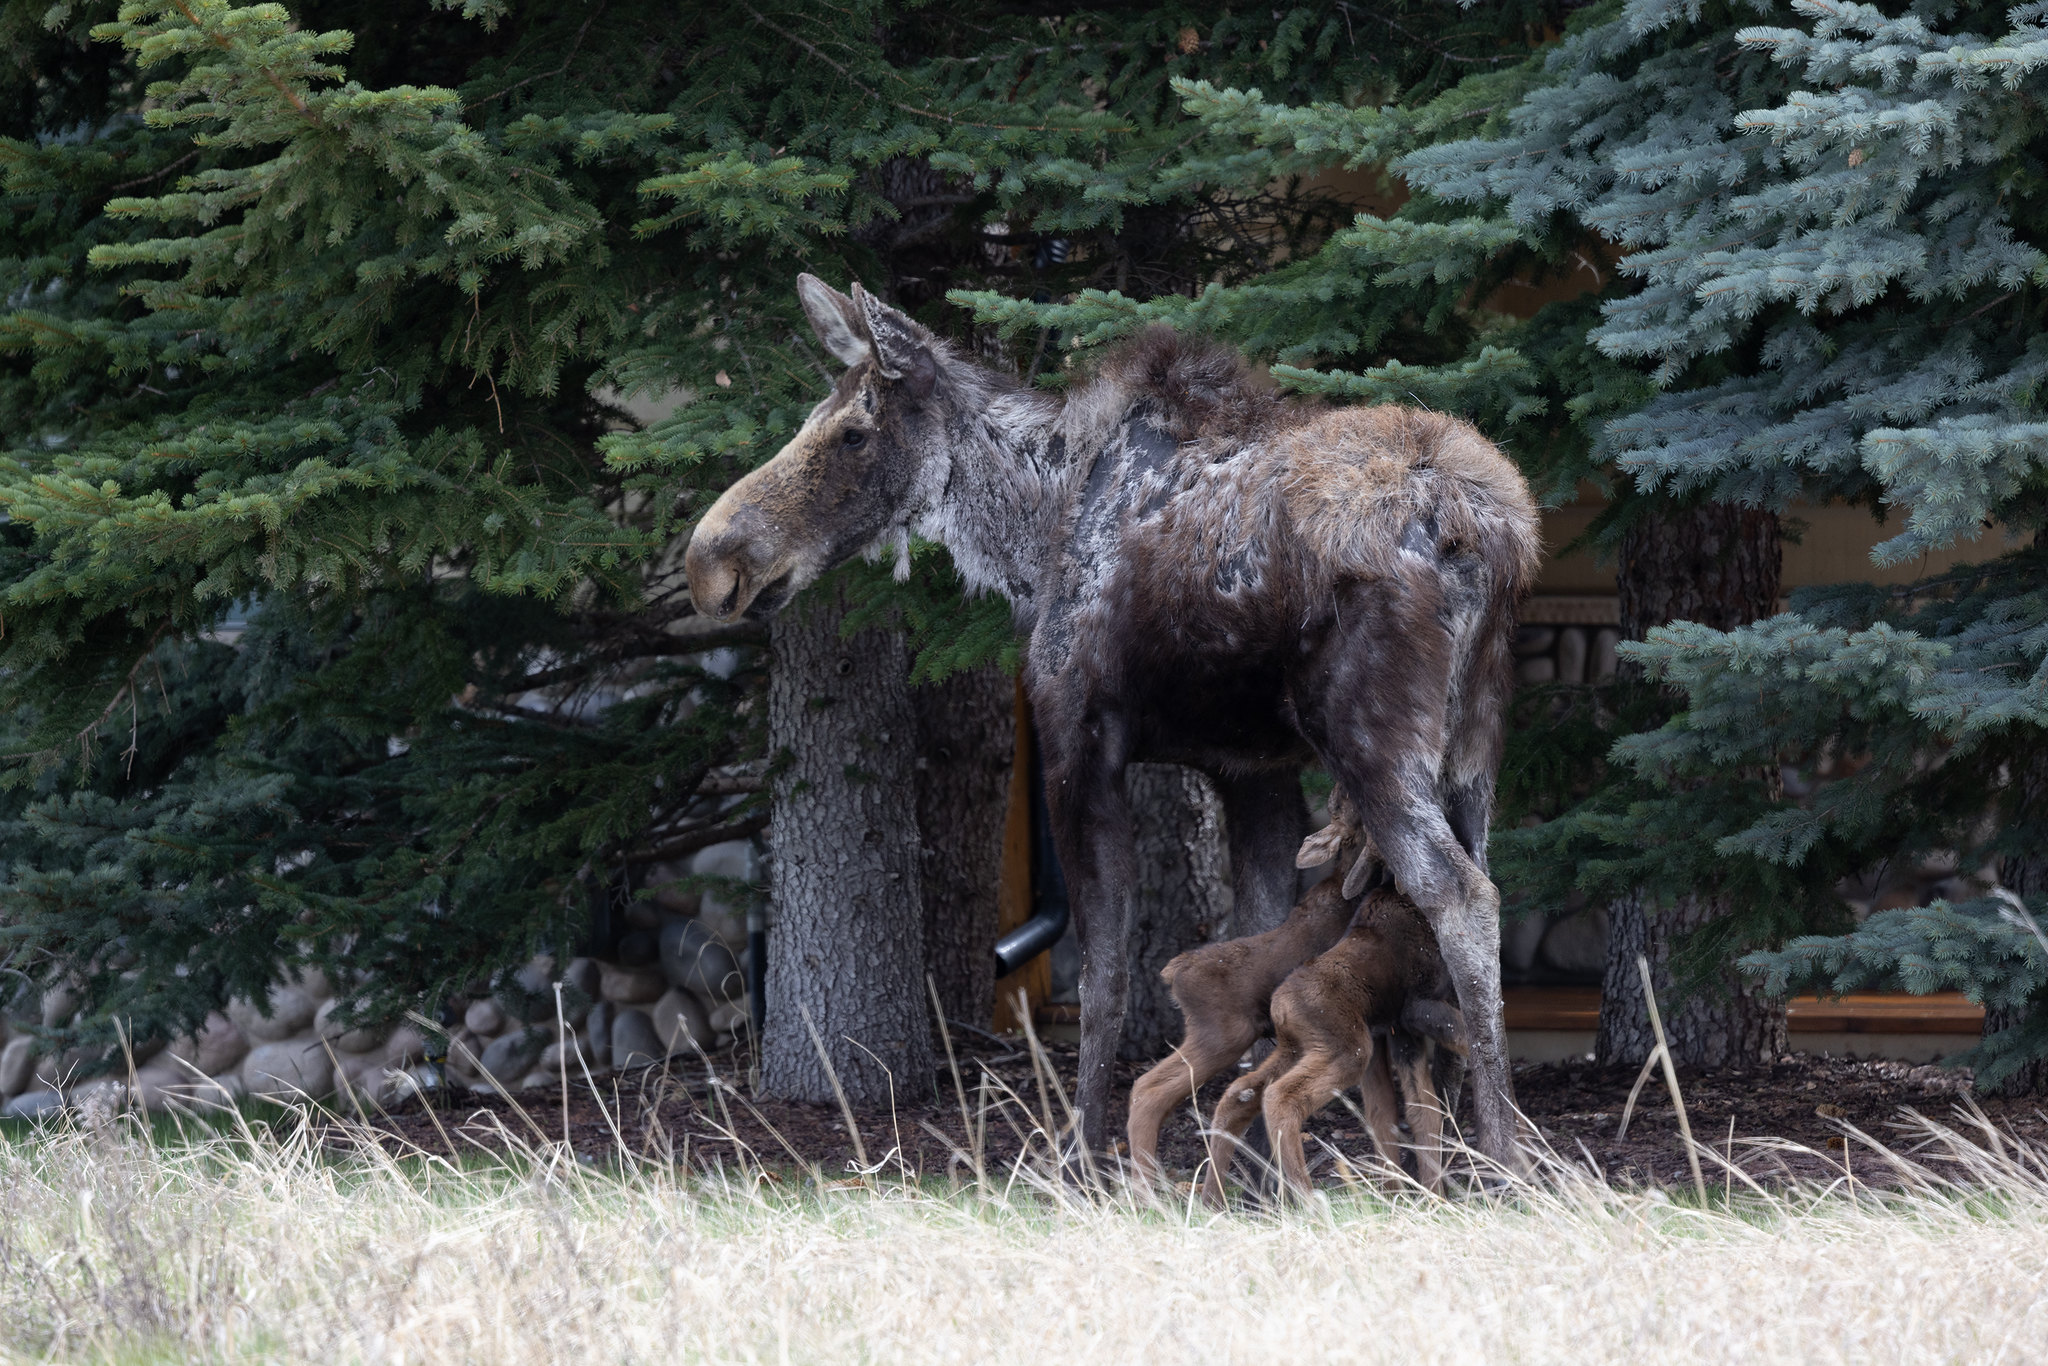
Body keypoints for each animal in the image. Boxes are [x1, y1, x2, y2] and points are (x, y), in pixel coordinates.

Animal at [683, 276, 1540, 1168]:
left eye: (853, 432)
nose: (711, 562)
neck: (1032, 535)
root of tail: (1487, 533)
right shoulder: (1251, 767)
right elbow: (1258, 940)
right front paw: (1244, 1169)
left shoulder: (1078, 737)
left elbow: (1105, 973)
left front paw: (1083, 1156)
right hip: (1474, 747)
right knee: (1469, 884)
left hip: (1371, 739)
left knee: (1460, 894)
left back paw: (1503, 1156)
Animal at [1203, 886, 1468, 1204]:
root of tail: (1280, 1008)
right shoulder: (1416, 1007)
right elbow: (1465, 1035)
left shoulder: (1400, 1028)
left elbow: (1422, 1111)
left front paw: (1432, 1198)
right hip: (1349, 1050)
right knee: (1279, 1096)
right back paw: (1306, 1200)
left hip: (1297, 1049)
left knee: (1240, 1092)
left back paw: (1211, 1200)